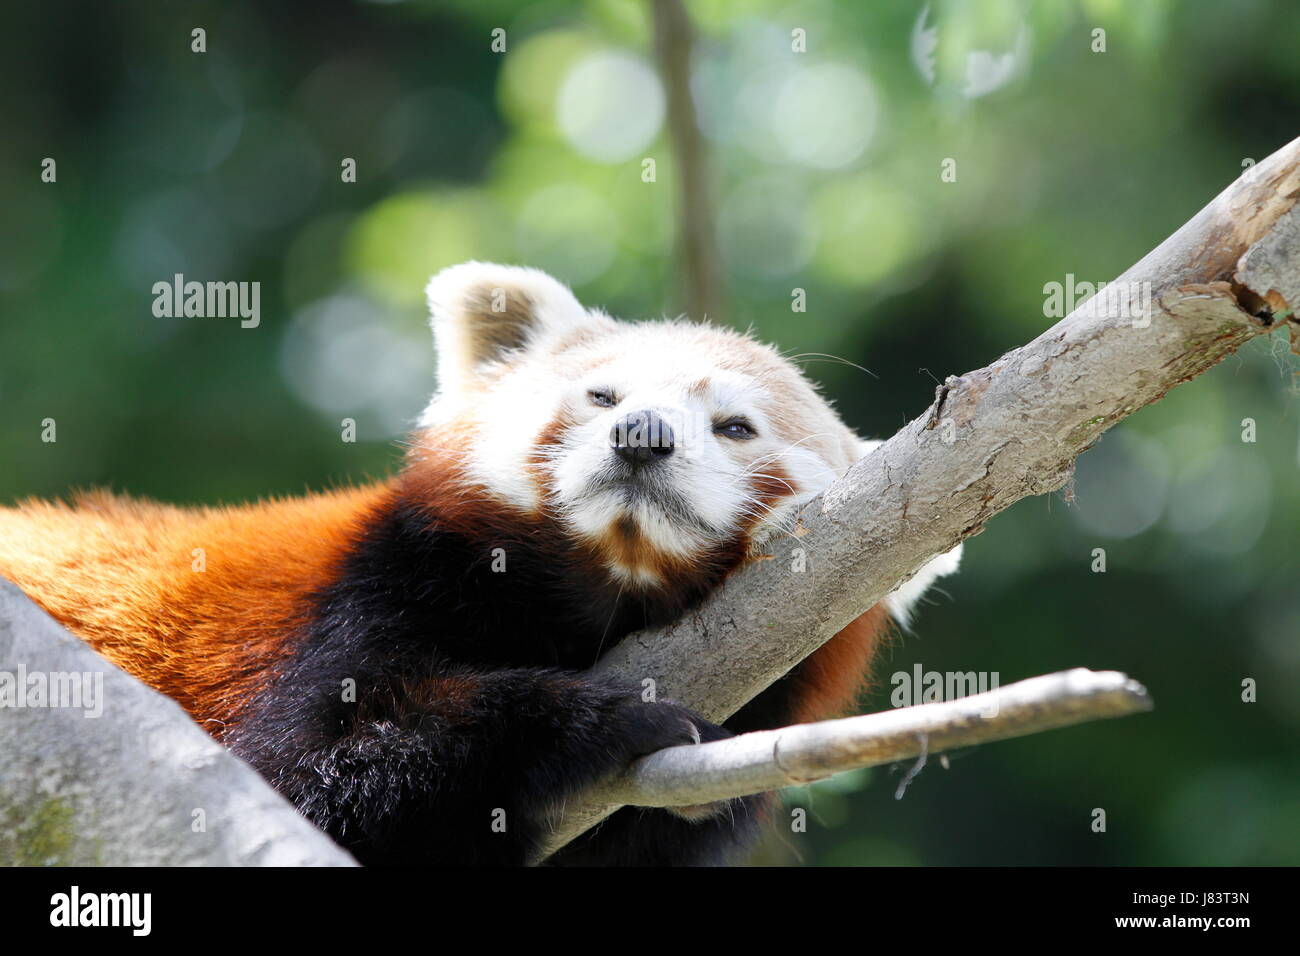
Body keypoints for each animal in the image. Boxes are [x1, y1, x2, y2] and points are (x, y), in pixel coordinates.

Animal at [0, 262, 960, 865]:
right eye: (603, 395)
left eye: (735, 427)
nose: (642, 434)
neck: (607, 588)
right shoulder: (356, 602)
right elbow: (314, 772)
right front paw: (591, 721)